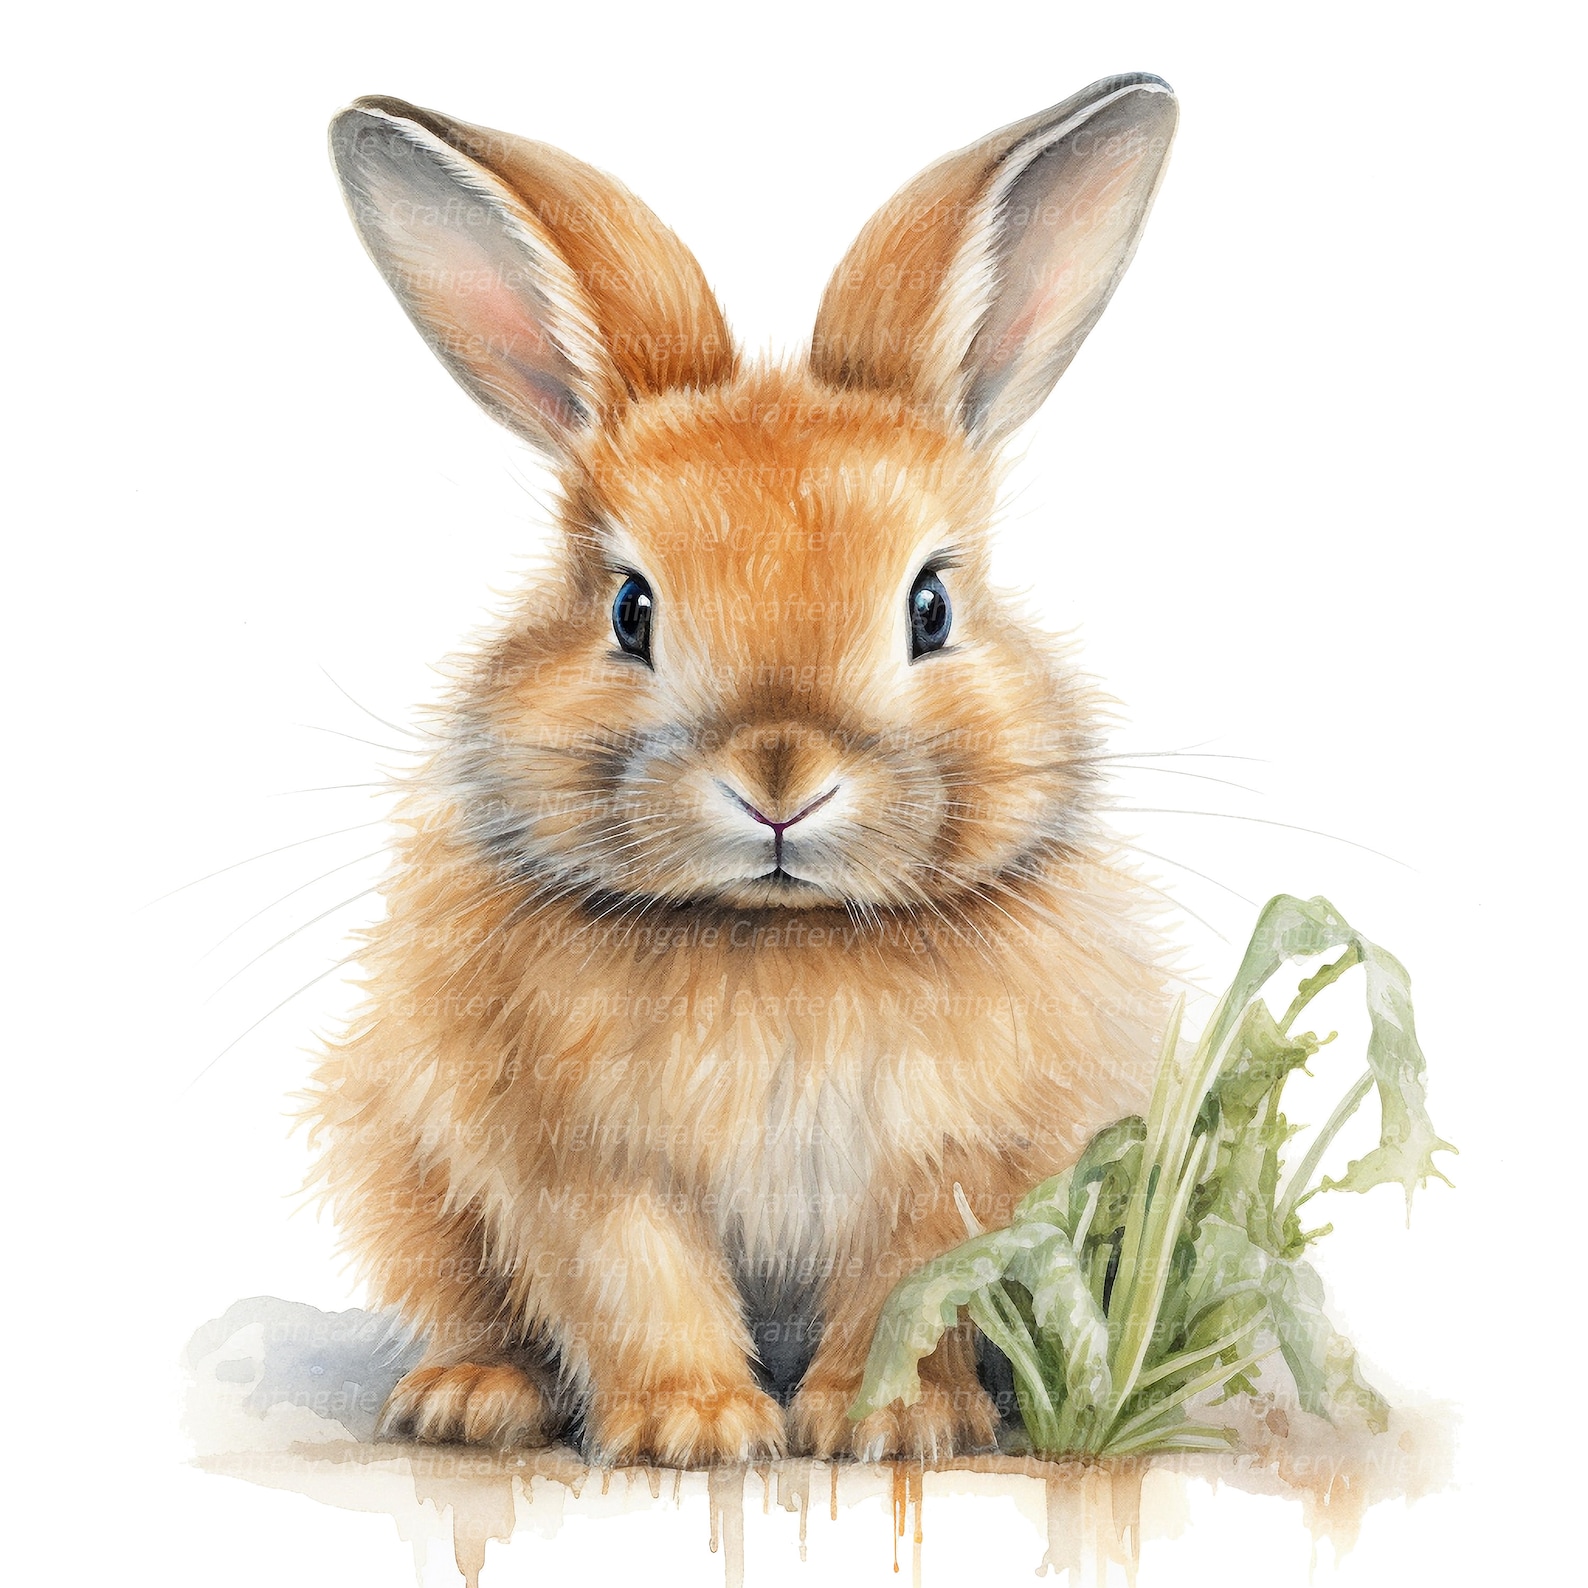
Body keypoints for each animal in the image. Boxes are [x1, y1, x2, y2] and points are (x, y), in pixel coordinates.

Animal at [306, 73, 1179, 1468]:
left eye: (930, 606)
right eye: (629, 610)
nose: (781, 779)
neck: (774, 938)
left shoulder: (955, 1163)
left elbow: (906, 1289)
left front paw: (886, 1426)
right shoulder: (577, 1163)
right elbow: (634, 1277)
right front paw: (696, 1427)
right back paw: (470, 1397)